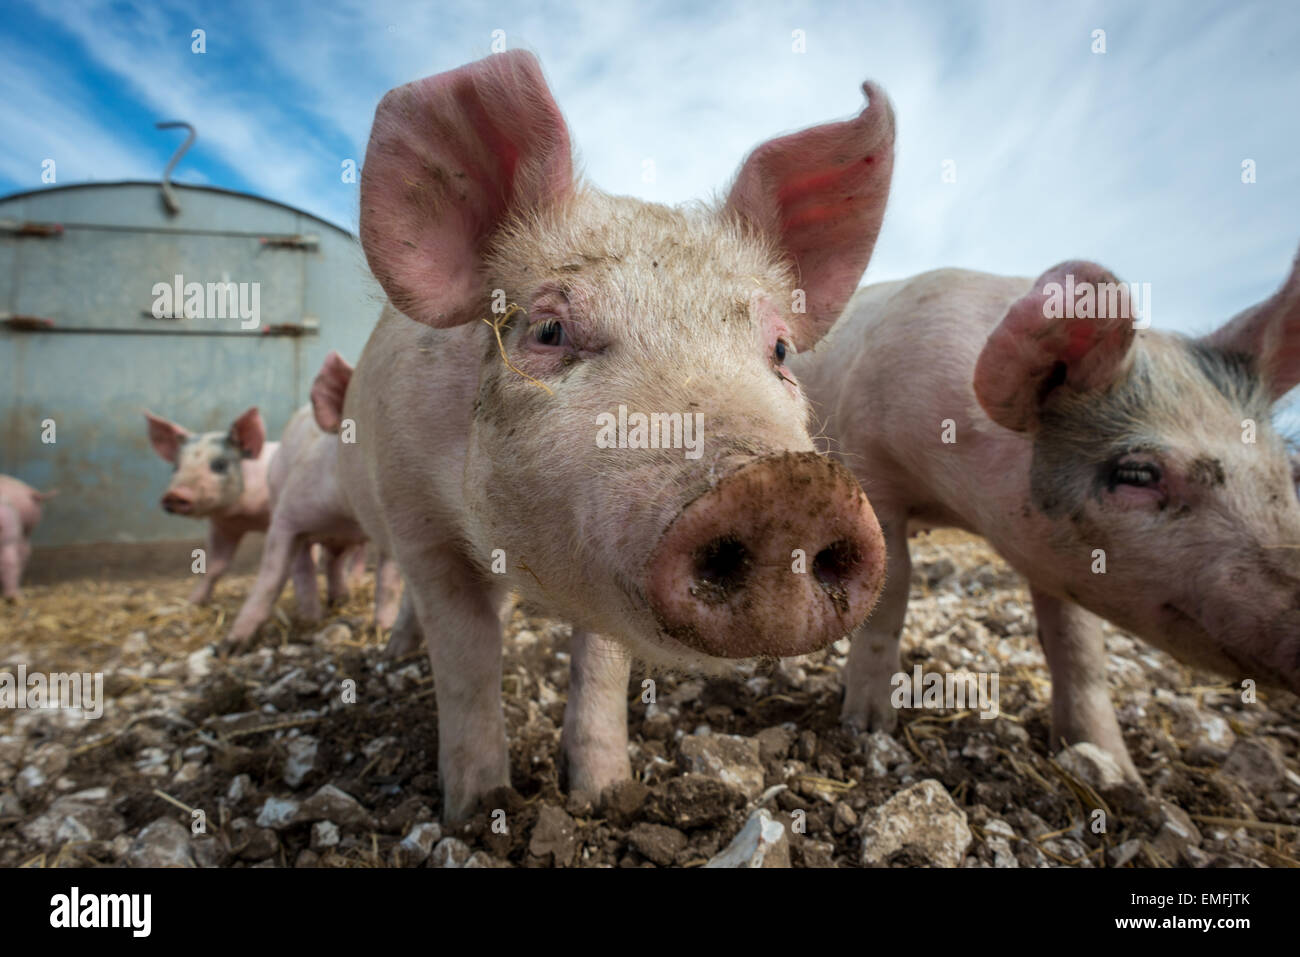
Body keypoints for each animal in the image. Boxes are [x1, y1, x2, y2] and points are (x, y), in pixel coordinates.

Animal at [223, 352, 402, 649]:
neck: (347, 516)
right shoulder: (289, 513)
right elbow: (271, 577)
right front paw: (233, 645)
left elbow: (389, 582)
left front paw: (383, 630)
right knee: (305, 565)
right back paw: (313, 617)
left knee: (333, 563)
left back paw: (340, 599)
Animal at [341, 51, 895, 820]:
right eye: (548, 330)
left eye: (781, 349)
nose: (789, 486)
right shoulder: (417, 523)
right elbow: (466, 662)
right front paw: (476, 810)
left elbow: (600, 667)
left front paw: (605, 793)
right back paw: (396, 657)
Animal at [793, 247, 1300, 777]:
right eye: (1138, 474)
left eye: (1286, 471)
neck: (953, 499)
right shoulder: (872, 468)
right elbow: (889, 595)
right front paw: (866, 727)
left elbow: (1076, 641)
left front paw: (1113, 770)